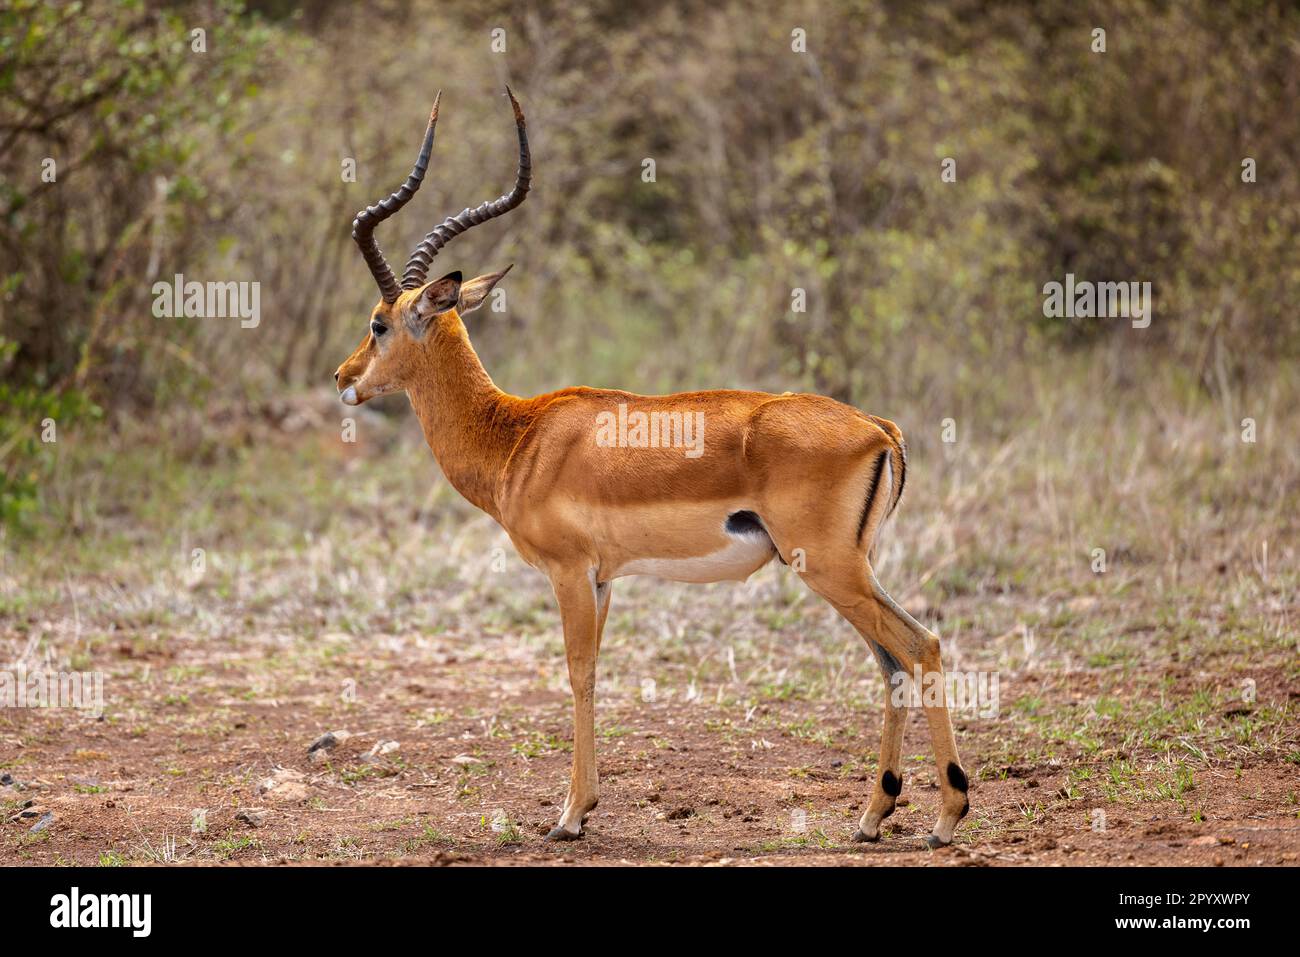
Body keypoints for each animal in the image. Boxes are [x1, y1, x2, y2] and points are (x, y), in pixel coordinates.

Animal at [334, 89, 970, 848]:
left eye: (377, 323)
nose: (342, 378)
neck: (519, 437)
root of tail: (880, 428)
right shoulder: (605, 578)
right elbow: (595, 670)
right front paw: (582, 808)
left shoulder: (571, 571)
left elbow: (578, 674)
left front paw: (570, 815)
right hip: (850, 568)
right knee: (894, 660)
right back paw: (874, 816)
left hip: (829, 567)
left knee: (920, 645)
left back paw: (946, 816)